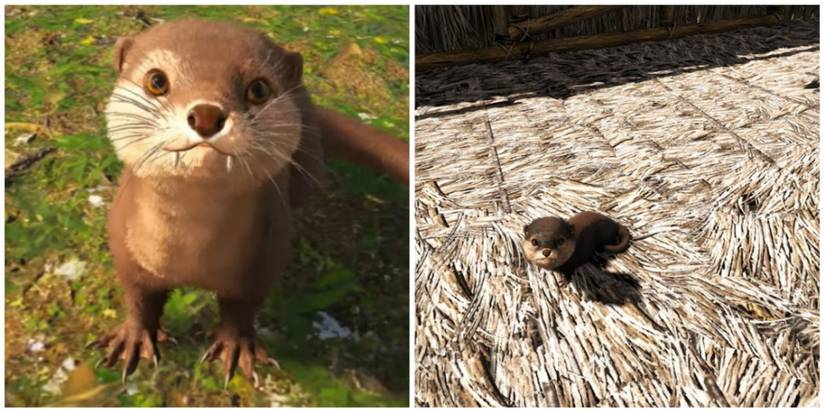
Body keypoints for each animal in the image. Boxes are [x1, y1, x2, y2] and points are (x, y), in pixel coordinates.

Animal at [97, 19, 408, 386]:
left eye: (258, 89)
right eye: (156, 81)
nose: (206, 114)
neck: (192, 258)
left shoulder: (264, 259)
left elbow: (242, 308)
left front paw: (235, 347)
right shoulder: (126, 248)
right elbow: (139, 299)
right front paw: (133, 338)